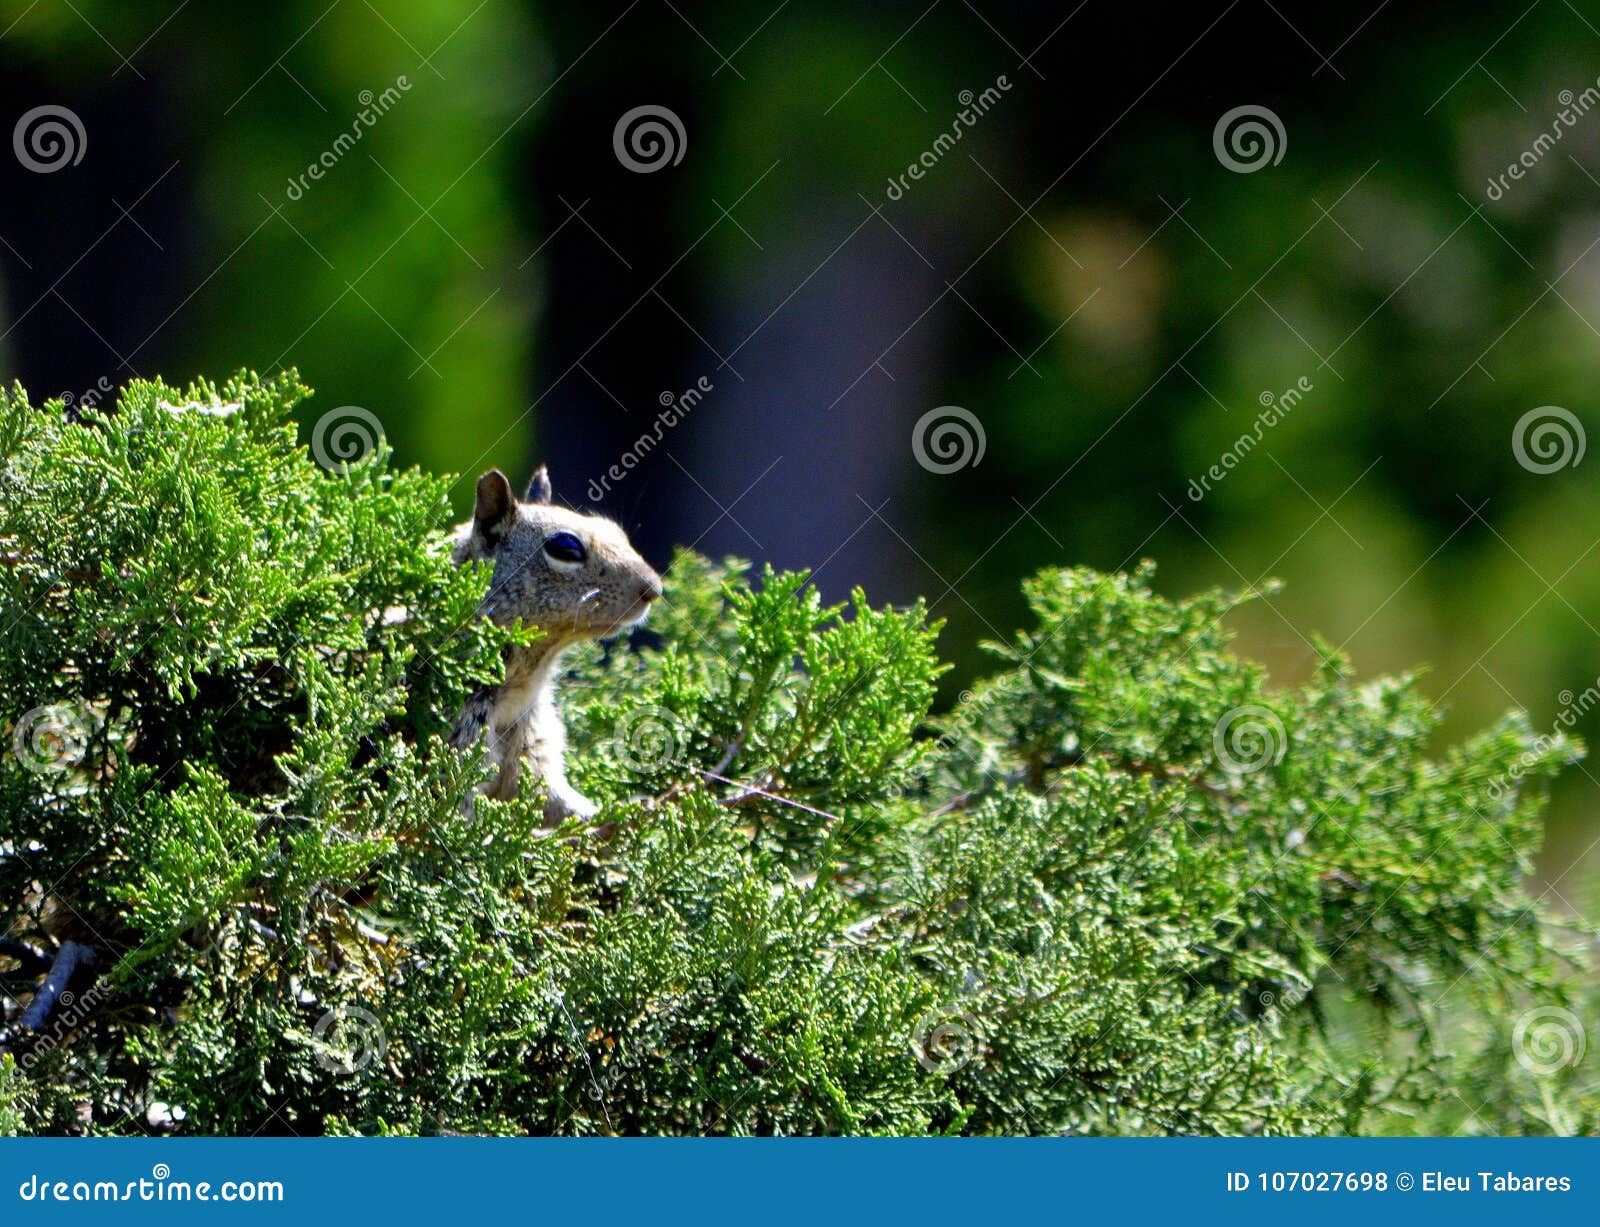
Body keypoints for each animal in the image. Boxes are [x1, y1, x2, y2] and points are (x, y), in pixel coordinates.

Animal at [450, 465, 662, 823]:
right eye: (566, 547)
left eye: (617, 531)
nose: (653, 589)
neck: (529, 672)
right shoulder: (459, 728)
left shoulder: (531, 736)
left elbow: (547, 793)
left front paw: (609, 813)